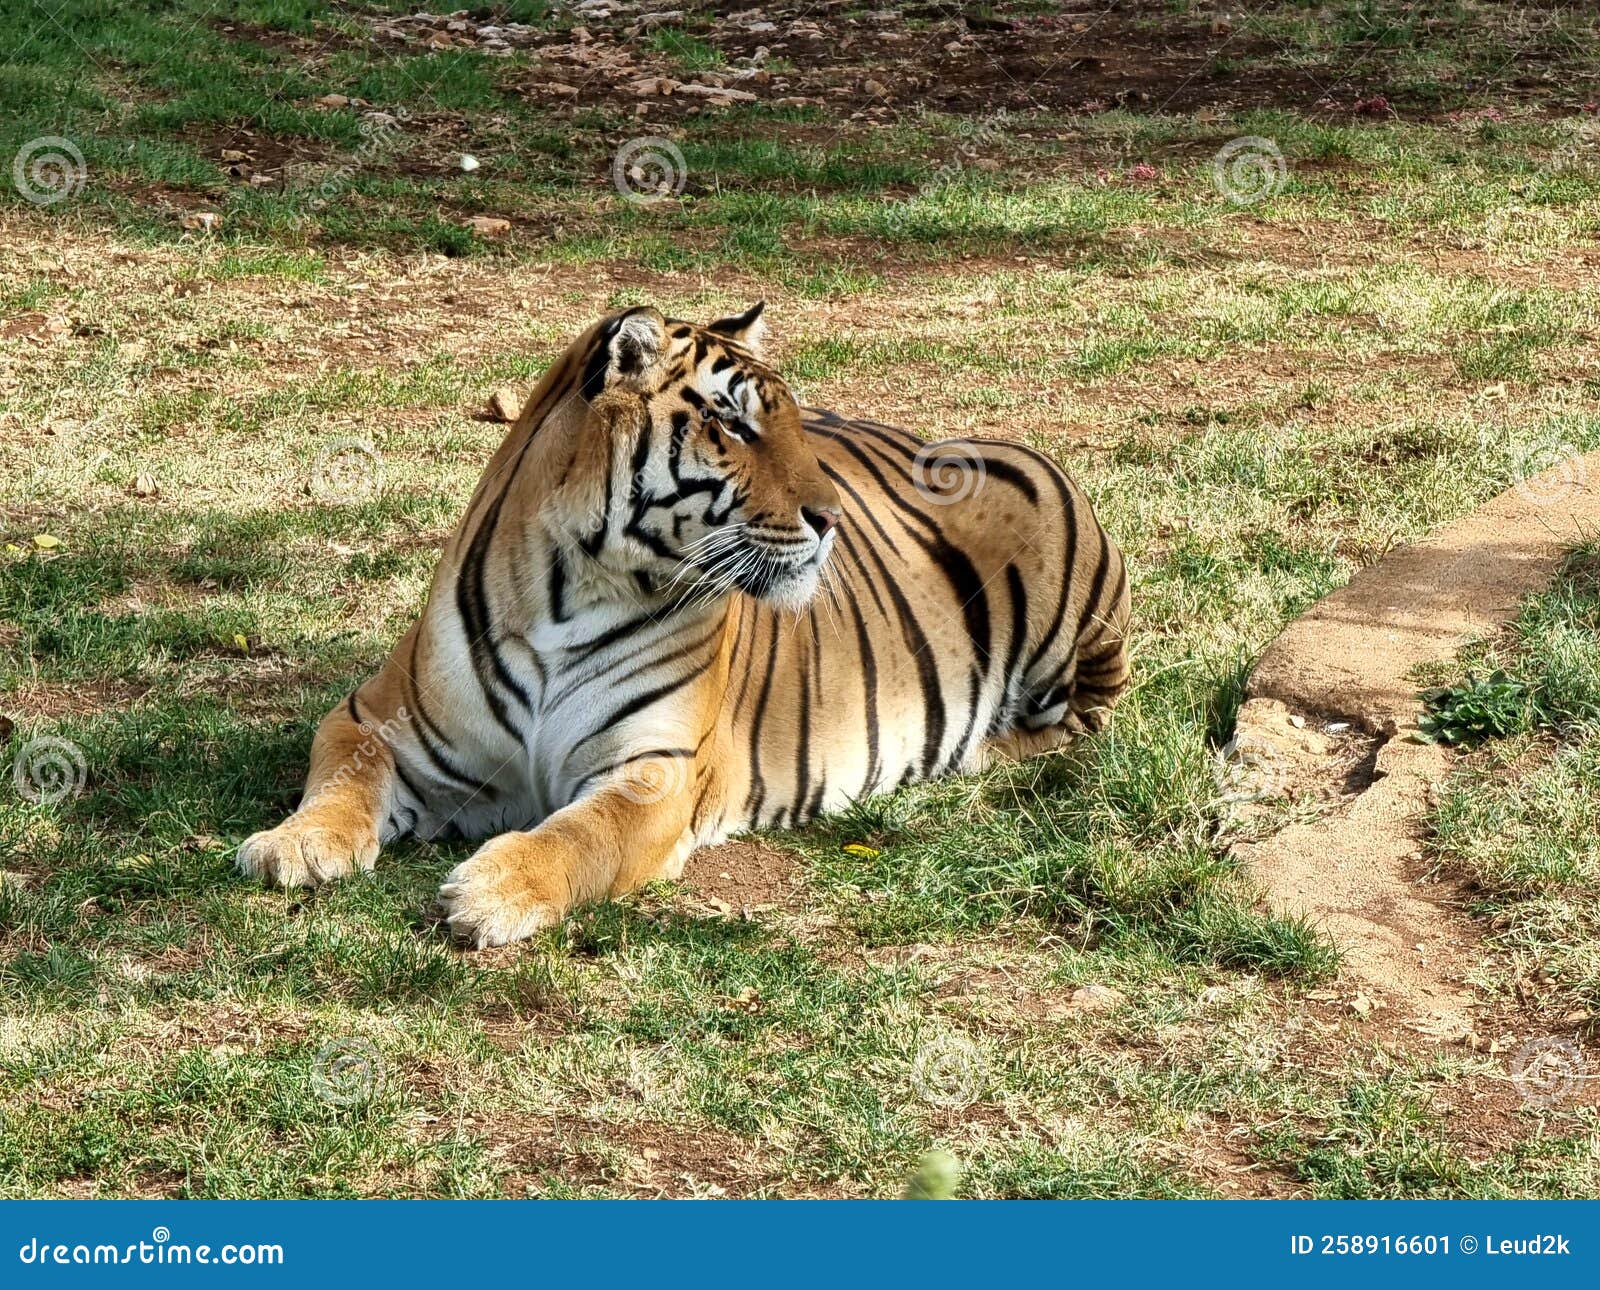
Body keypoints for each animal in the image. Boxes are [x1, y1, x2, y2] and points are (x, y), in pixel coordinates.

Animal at [237, 303, 1132, 946]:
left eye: (794, 423)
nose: (832, 518)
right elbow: (343, 780)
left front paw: (488, 893)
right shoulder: (374, 717)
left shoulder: (654, 773)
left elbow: (576, 838)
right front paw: (293, 845)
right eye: (732, 423)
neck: (566, 587)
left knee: (1079, 719)